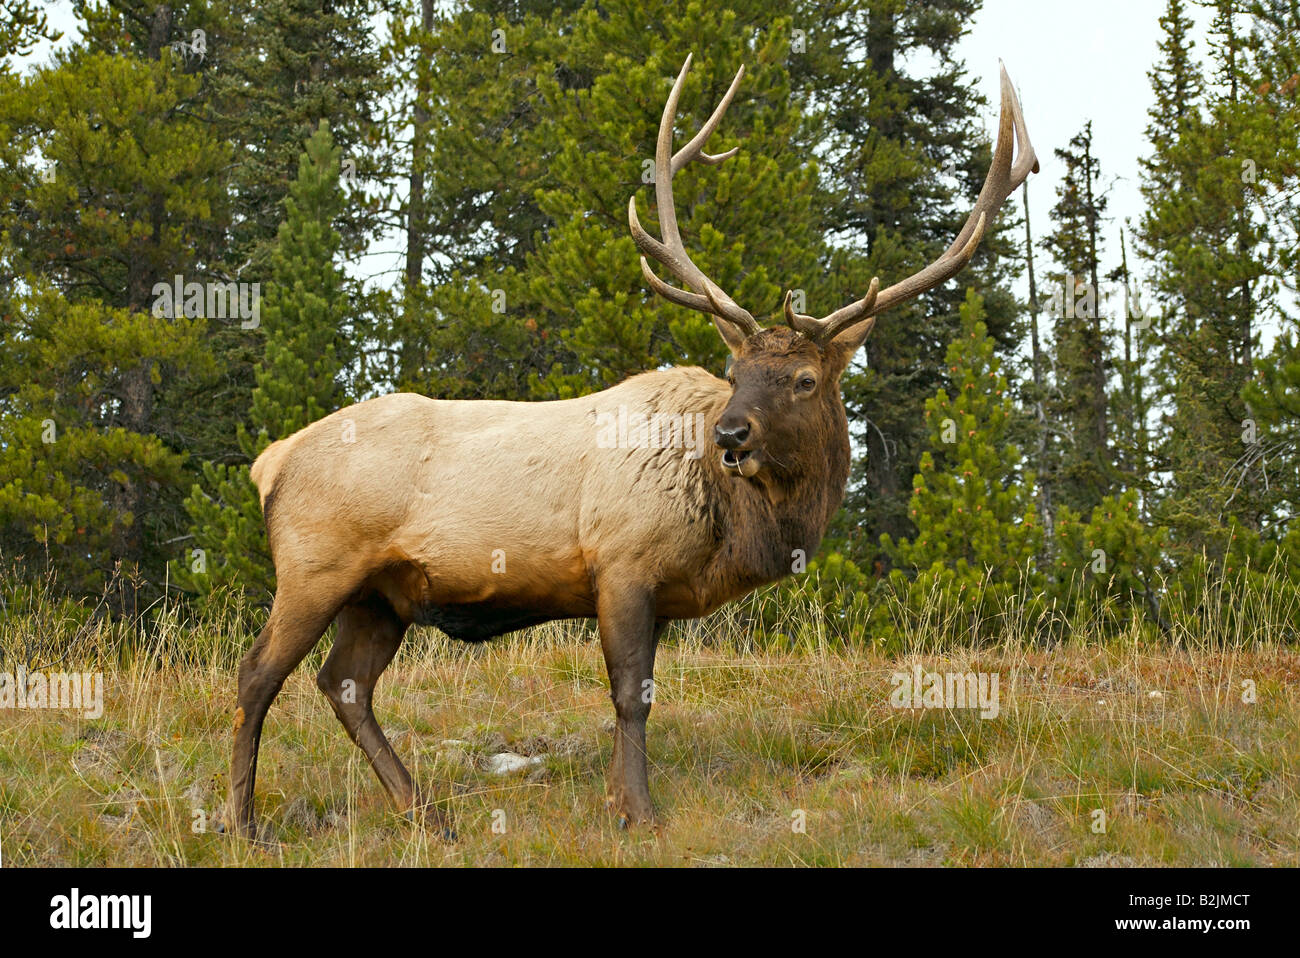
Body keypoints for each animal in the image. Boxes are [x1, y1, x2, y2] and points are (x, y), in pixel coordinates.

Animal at [228, 55, 1036, 839]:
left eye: (805, 379)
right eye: (736, 373)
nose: (732, 435)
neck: (741, 526)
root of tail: (271, 461)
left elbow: (640, 692)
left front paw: (622, 801)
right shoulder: (621, 564)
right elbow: (629, 696)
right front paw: (638, 812)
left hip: (382, 592)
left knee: (344, 684)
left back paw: (427, 813)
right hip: (316, 565)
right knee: (258, 674)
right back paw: (244, 822)